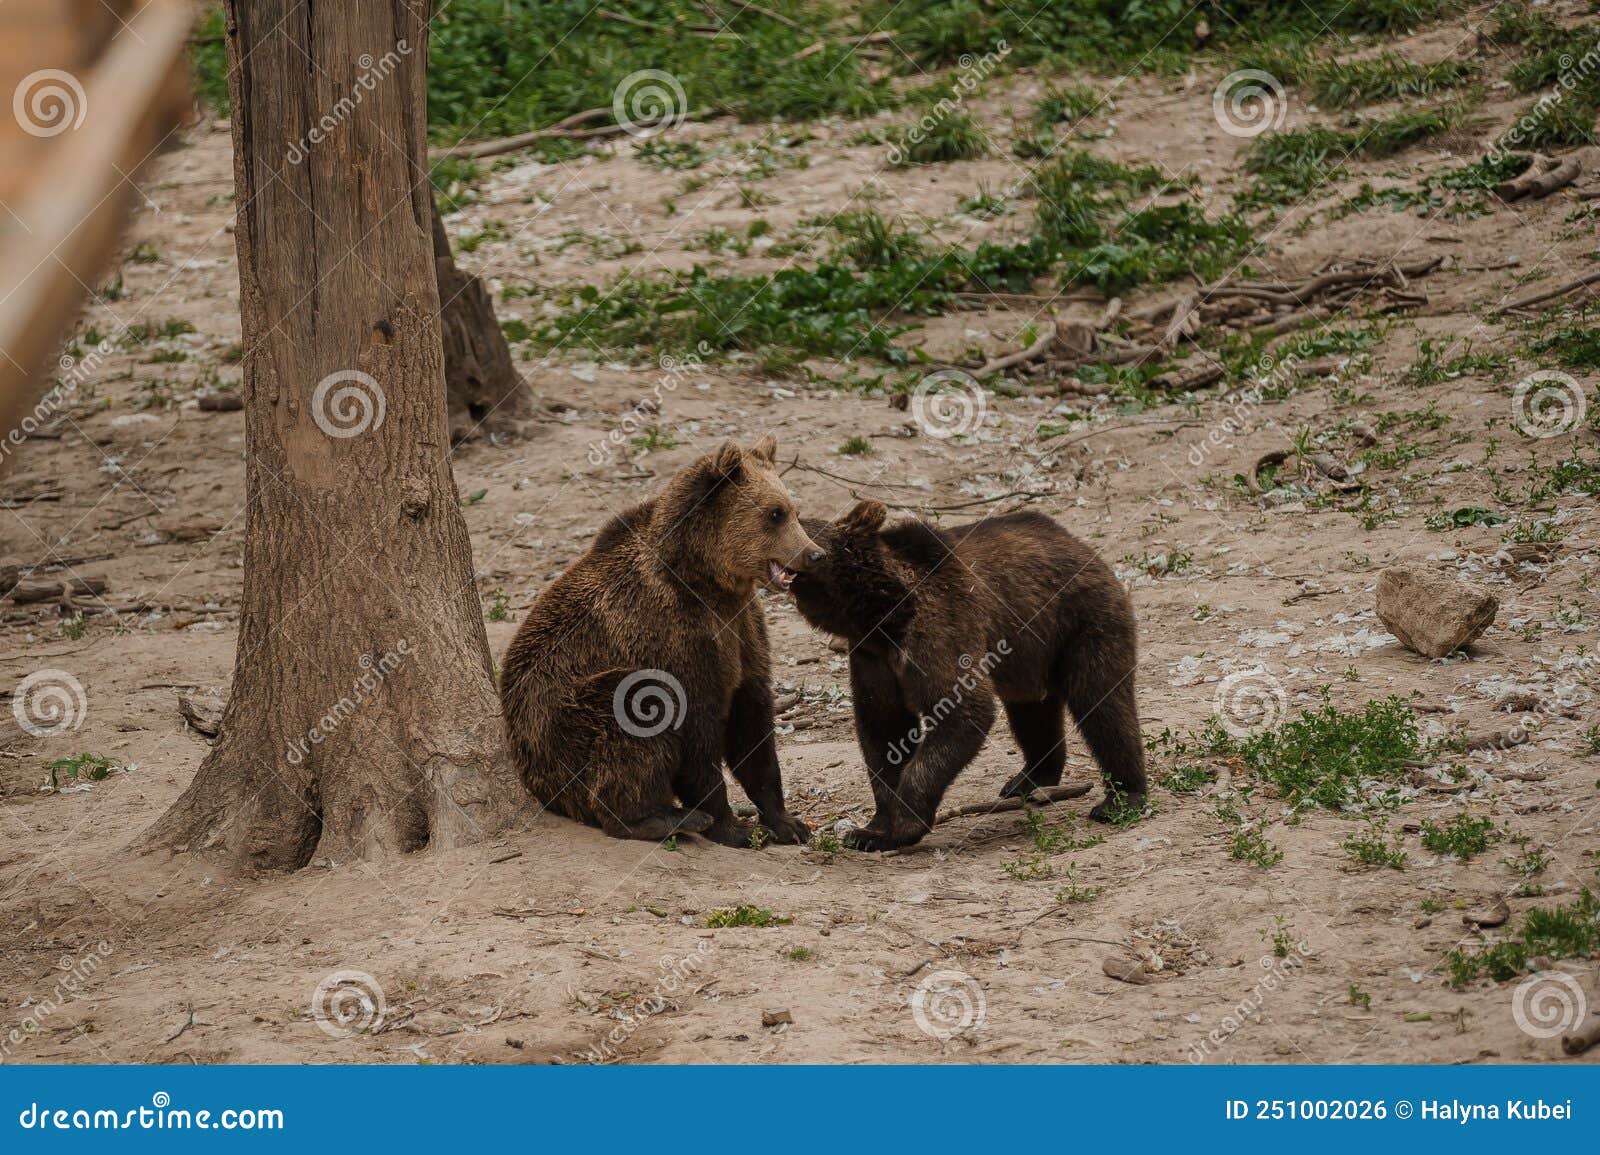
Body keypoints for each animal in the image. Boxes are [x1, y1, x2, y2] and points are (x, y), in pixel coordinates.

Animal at [499, 435, 821, 847]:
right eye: (775, 514)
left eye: (792, 510)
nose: (814, 553)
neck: (708, 581)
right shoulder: (674, 633)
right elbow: (695, 728)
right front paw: (732, 826)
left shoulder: (742, 628)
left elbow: (752, 719)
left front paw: (787, 822)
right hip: (560, 725)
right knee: (631, 712)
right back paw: (665, 817)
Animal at [788, 500, 1146, 851]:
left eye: (793, 518)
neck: (884, 614)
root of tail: (1082, 546)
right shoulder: (871, 656)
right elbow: (884, 728)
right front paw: (870, 830)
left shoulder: (942, 627)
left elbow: (963, 708)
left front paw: (902, 826)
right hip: (1031, 653)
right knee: (1032, 712)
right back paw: (1029, 778)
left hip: (1084, 621)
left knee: (1103, 704)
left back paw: (1122, 798)